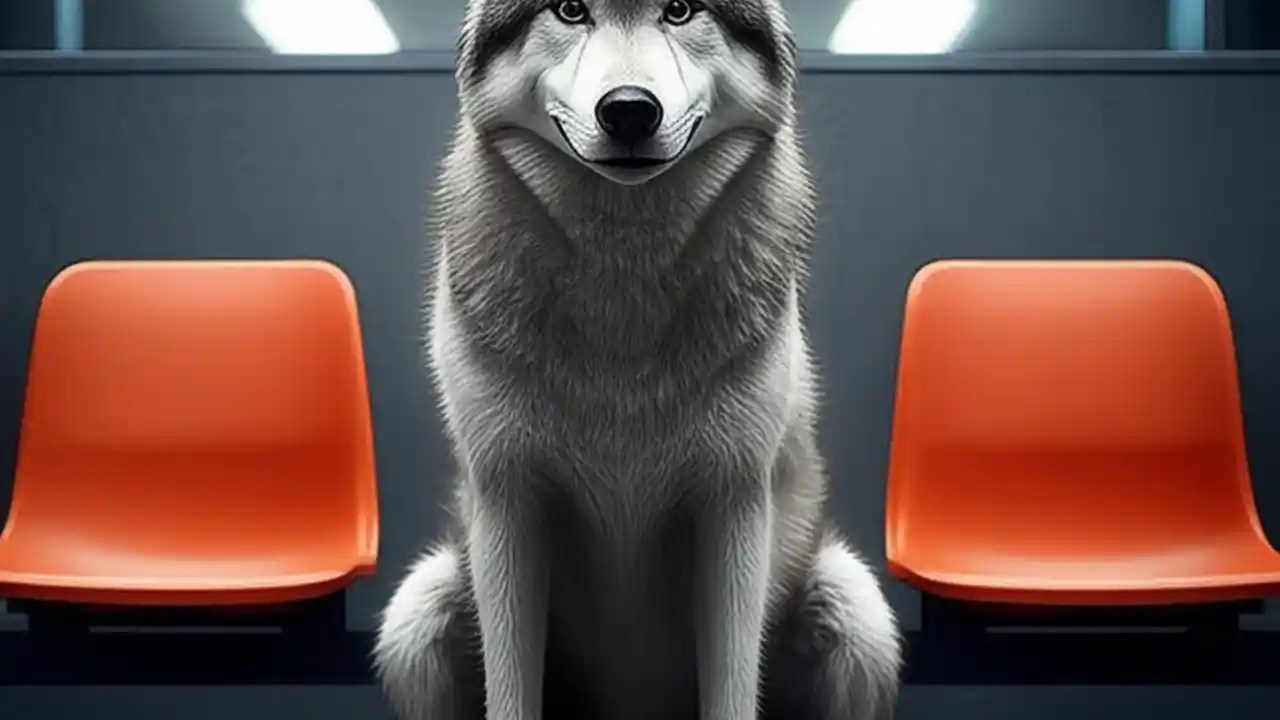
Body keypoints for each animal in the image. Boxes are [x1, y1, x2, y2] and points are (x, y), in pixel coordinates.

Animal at [374, 1, 902, 718]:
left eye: (680, 11)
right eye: (570, 11)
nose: (628, 110)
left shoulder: (734, 503)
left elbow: (732, 691)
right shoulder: (508, 498)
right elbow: (511, 691)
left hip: (858, 616)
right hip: (416, 617)